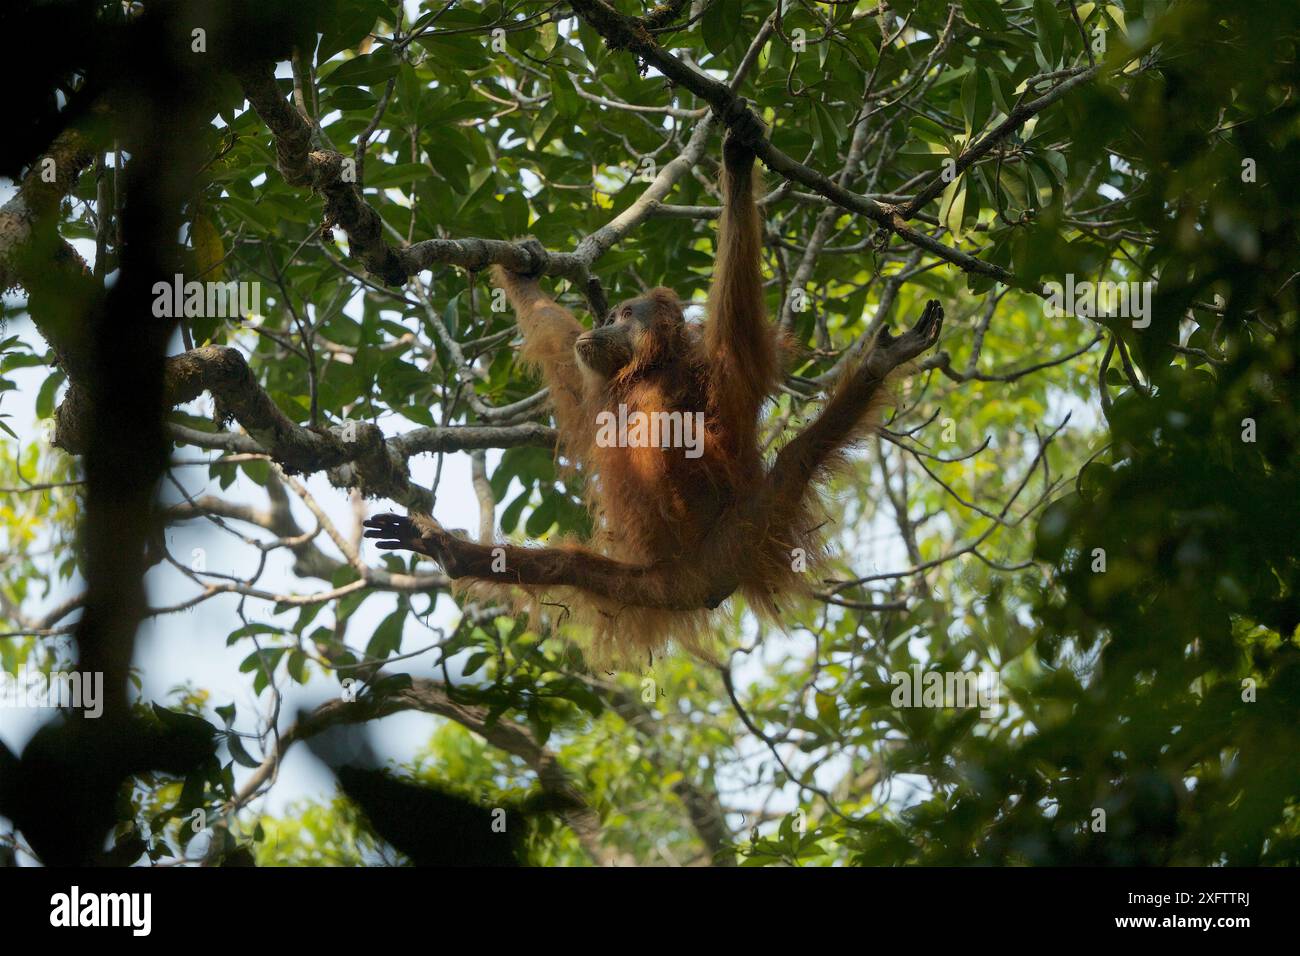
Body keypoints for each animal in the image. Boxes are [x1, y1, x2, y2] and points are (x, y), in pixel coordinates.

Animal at [365, 115, 943, 665]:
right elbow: (560, 346)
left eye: (623, 315)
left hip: (749, 522)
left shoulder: (721, 373)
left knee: (802, 454)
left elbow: (736, 316)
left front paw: (737, 164)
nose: (601, 325)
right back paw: (450, 551)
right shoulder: (593, 388)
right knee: (571, 567)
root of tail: (709, 581)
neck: (647, 373)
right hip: (649, 584)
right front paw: (522, 273)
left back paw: (878, 365)